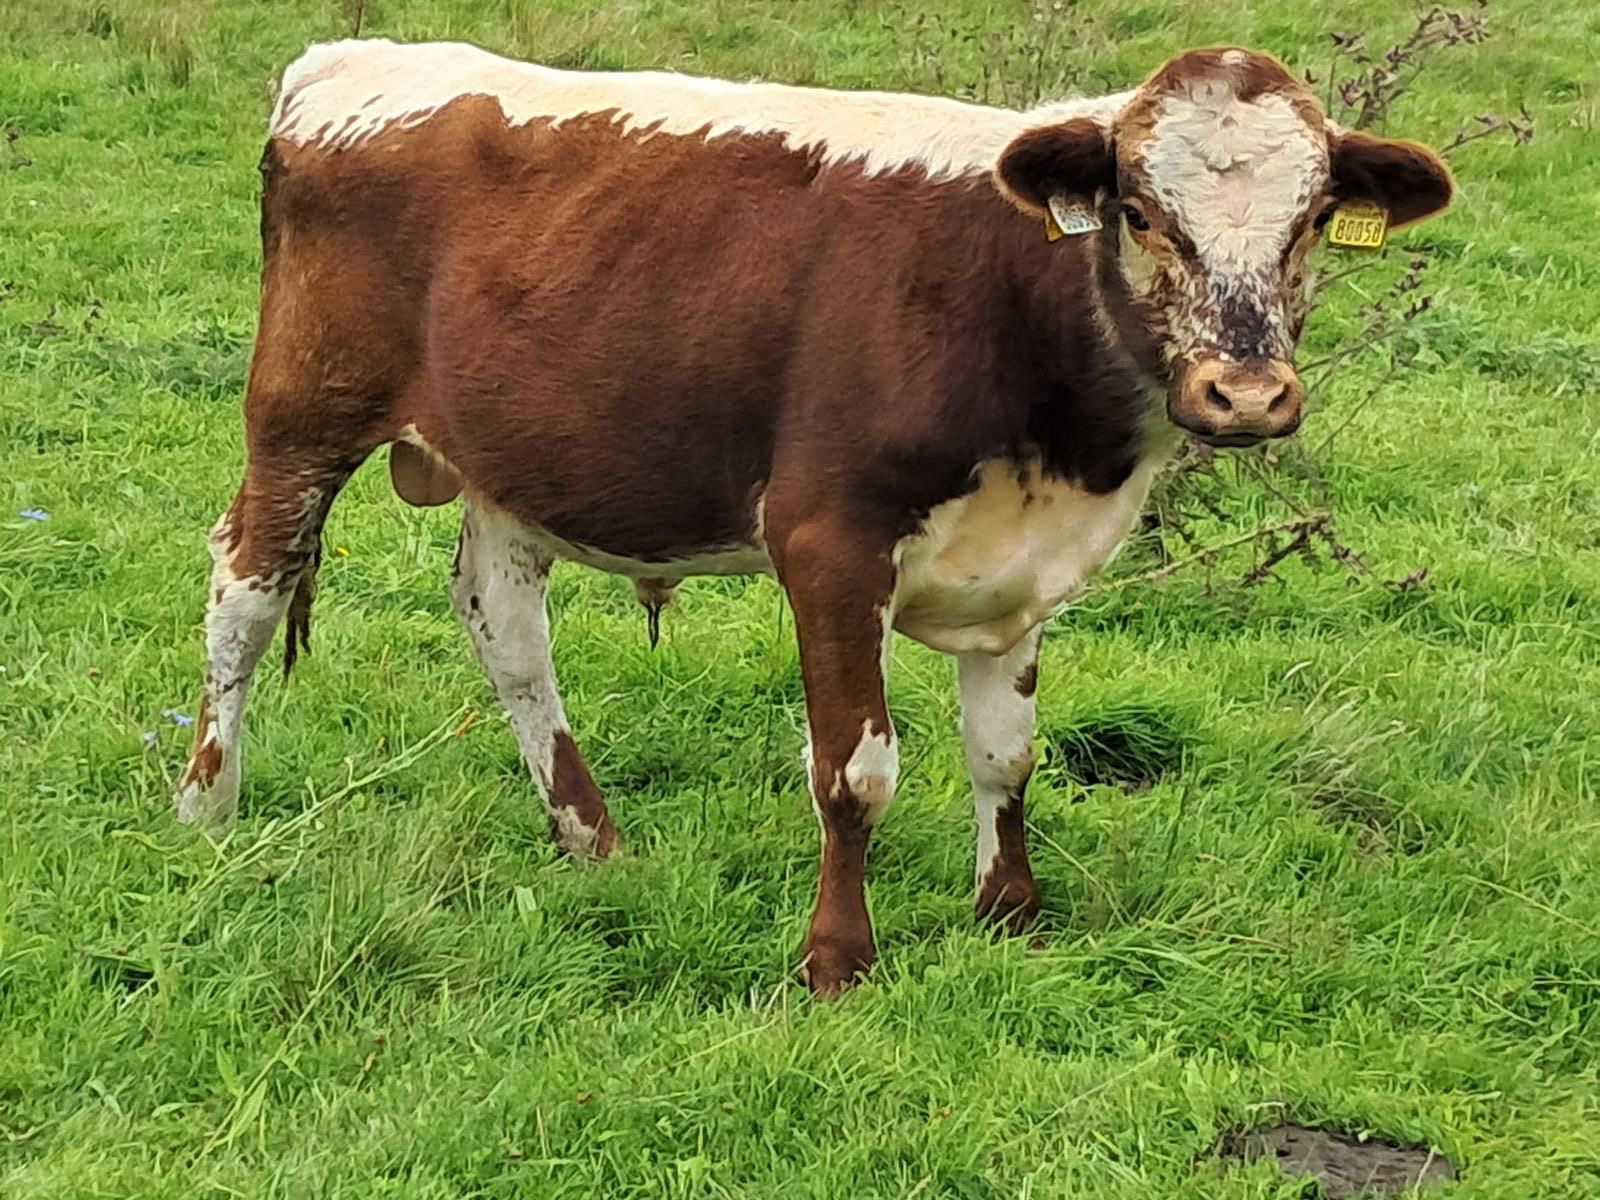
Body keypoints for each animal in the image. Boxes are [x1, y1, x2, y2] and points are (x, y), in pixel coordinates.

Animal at [175, 39, 1453, 993]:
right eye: (1138, 211)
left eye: (1313, 216)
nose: (1246, 393)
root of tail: (355, 57)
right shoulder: (828, 543)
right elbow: (853, 770)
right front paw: (837, 959)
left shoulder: (1021, 569)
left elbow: (1007, 751)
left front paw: (1011, 914)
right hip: (301, 414)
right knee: (244, 589)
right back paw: (207, 810)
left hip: (509, 456)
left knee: (506, 630)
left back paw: (589, 839)